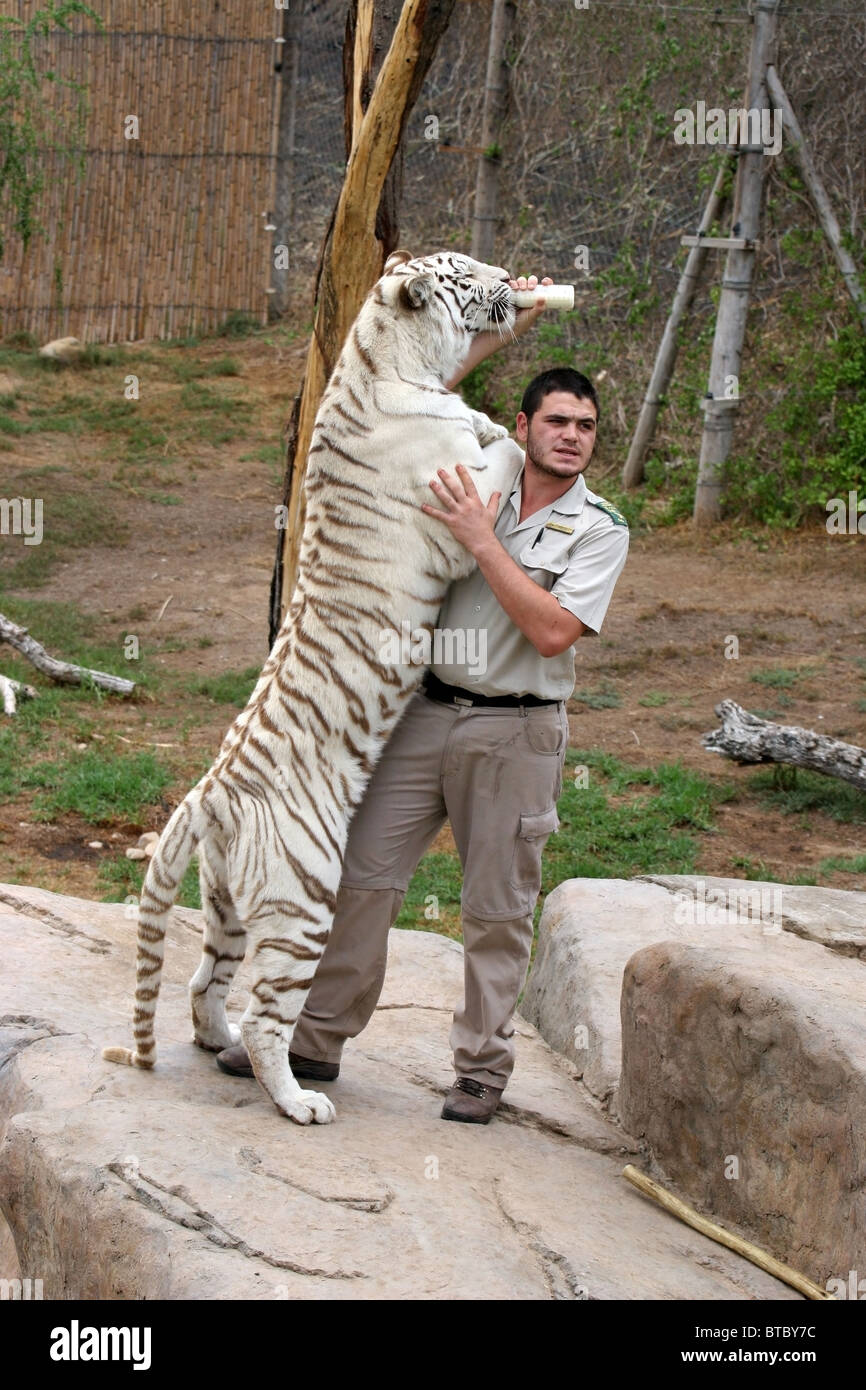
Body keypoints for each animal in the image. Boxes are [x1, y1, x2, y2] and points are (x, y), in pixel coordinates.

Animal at [103, 249, 525, 1125]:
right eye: (467, 271)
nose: (512, 274)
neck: (384, 359)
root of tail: (209, 794)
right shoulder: (459, 501)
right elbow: (498, 458)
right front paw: (510, 434)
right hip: (303, 902)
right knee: (270, 1014)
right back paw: (297, 1101)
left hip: (227, 905)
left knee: (202, 982)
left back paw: (217, 1044)